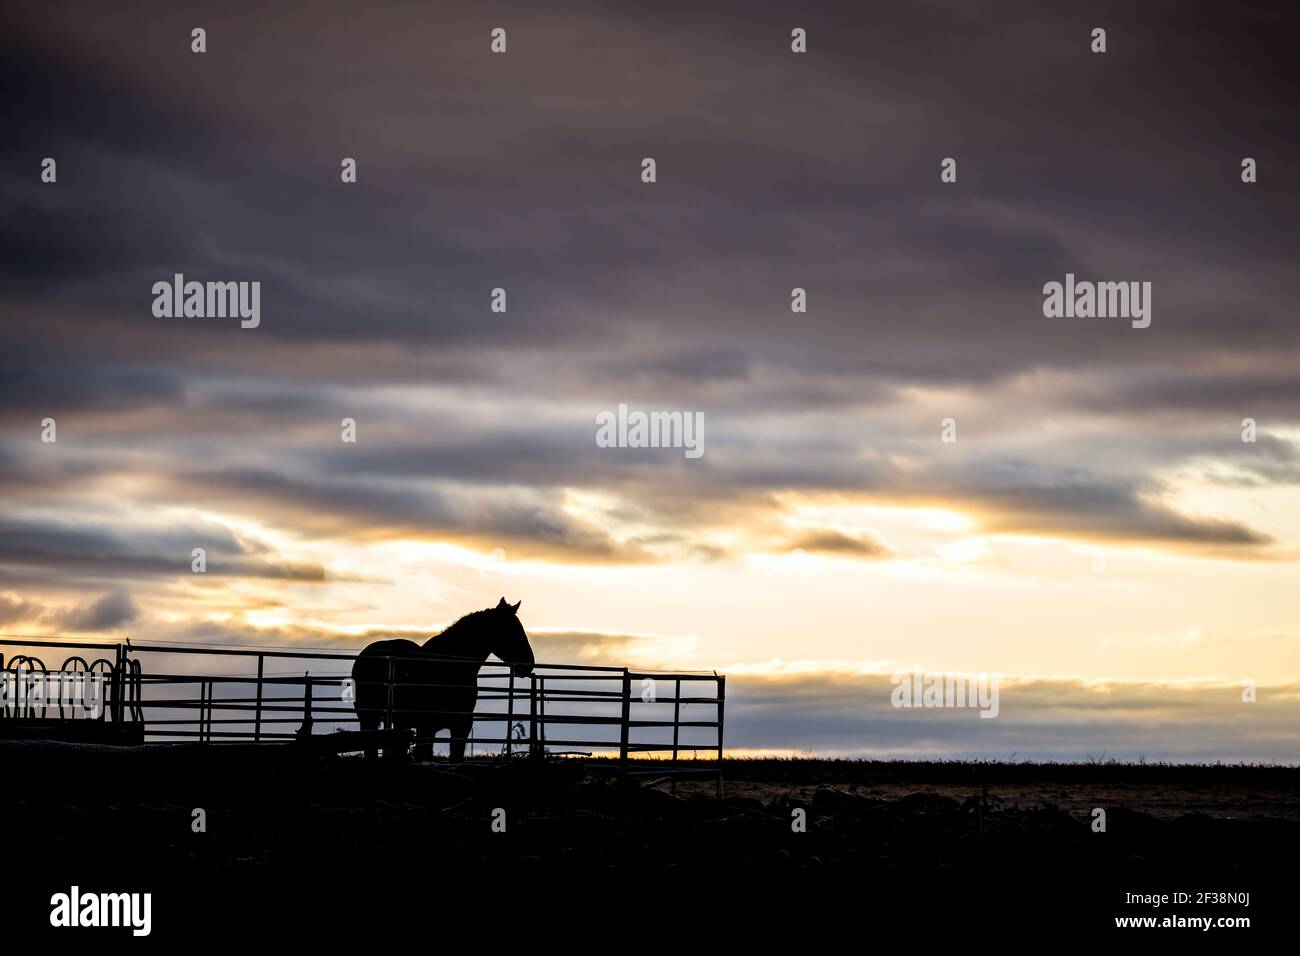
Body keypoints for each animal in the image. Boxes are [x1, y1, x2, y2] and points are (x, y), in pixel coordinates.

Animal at [351, 598, 534, 761]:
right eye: (511, 630)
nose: (528, 664)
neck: (448, 665)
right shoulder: (427, 726)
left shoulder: (461, 726)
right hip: (369, 718)